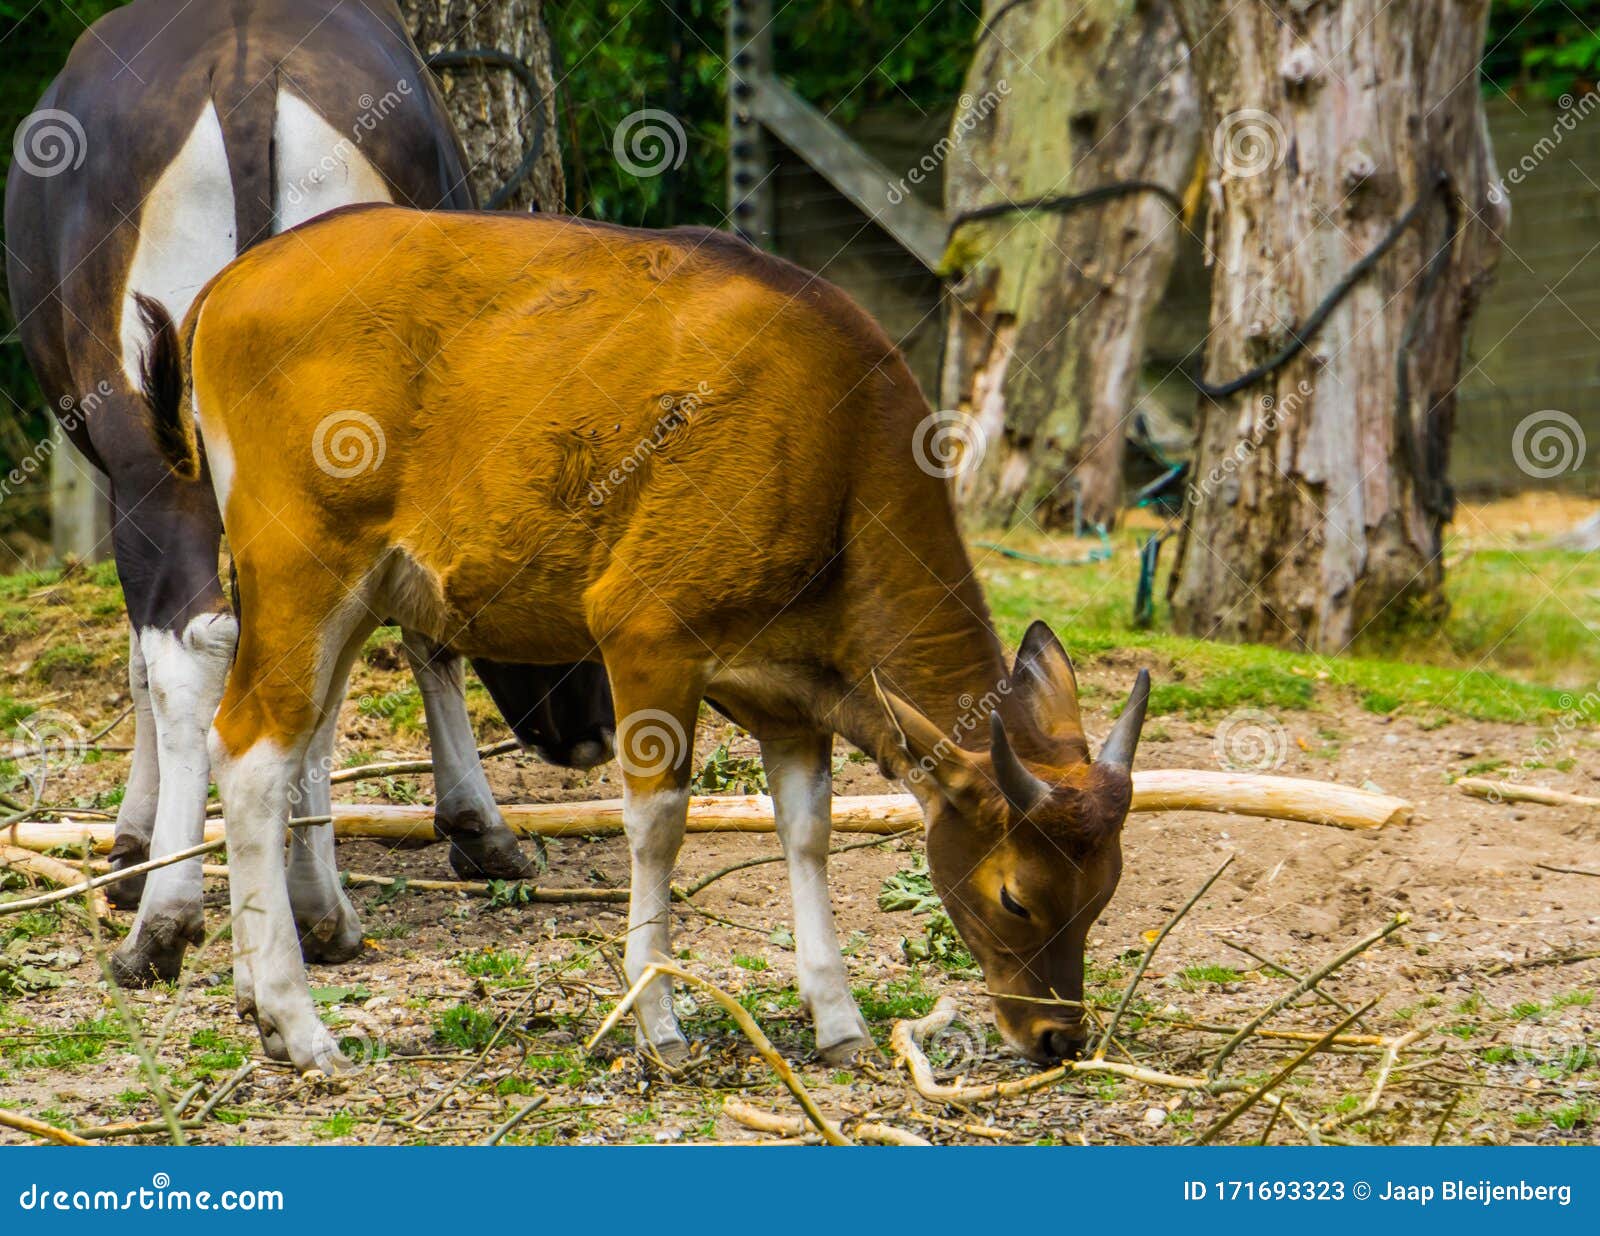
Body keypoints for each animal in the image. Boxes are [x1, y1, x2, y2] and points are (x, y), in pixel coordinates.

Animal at [4, 0, 614, 987]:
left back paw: (175, 923)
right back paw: (307, 907)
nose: (595, 729)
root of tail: (246, 77)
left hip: (150, 453)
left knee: (195, 642)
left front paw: (135, 853)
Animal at [136, 203, 1150, 1074]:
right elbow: (659, 826)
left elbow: (808, 832)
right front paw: (658, 1021)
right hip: (304, 566)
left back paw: (254, 995)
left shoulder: (793, 693)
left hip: (354, 590)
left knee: (292, 742)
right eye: (1017, 895)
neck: (833, 456)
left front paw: (839, 1021)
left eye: (1104, 893)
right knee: (253, 750)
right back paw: (299, 1025)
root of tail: (226, 287)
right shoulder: (646, 636)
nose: (1057, 1037)